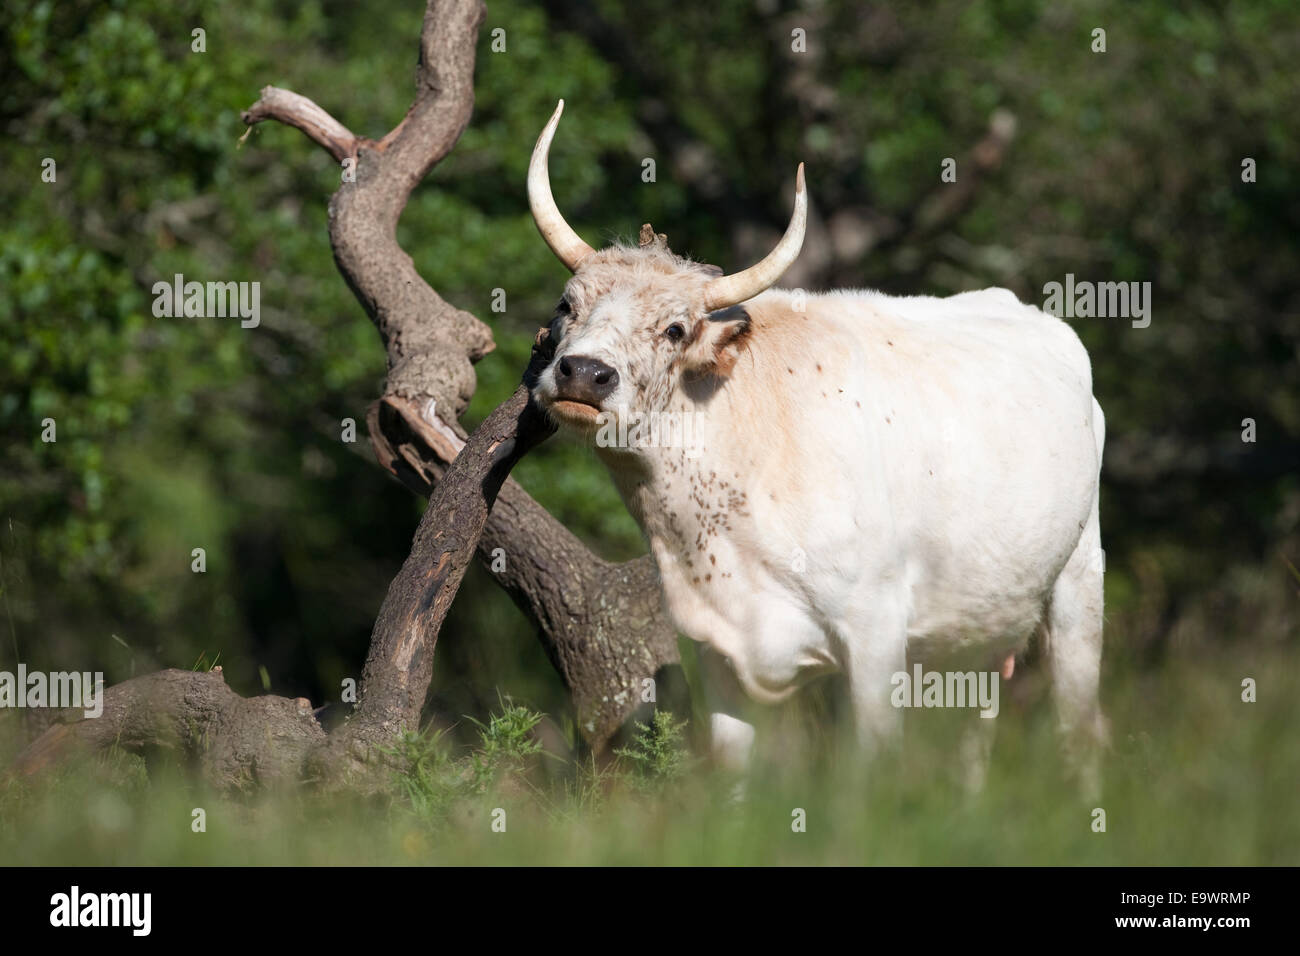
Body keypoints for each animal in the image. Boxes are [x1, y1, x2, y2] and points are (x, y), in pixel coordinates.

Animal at [526, 101, 1108, 794]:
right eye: (567, 304)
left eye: (675, 329)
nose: (584, 374)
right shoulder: (717, 648)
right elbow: (734, 771)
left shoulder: (876, 631)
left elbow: (872, 766)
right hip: (984, 622)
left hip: (1080, 582)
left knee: (1079, 727)